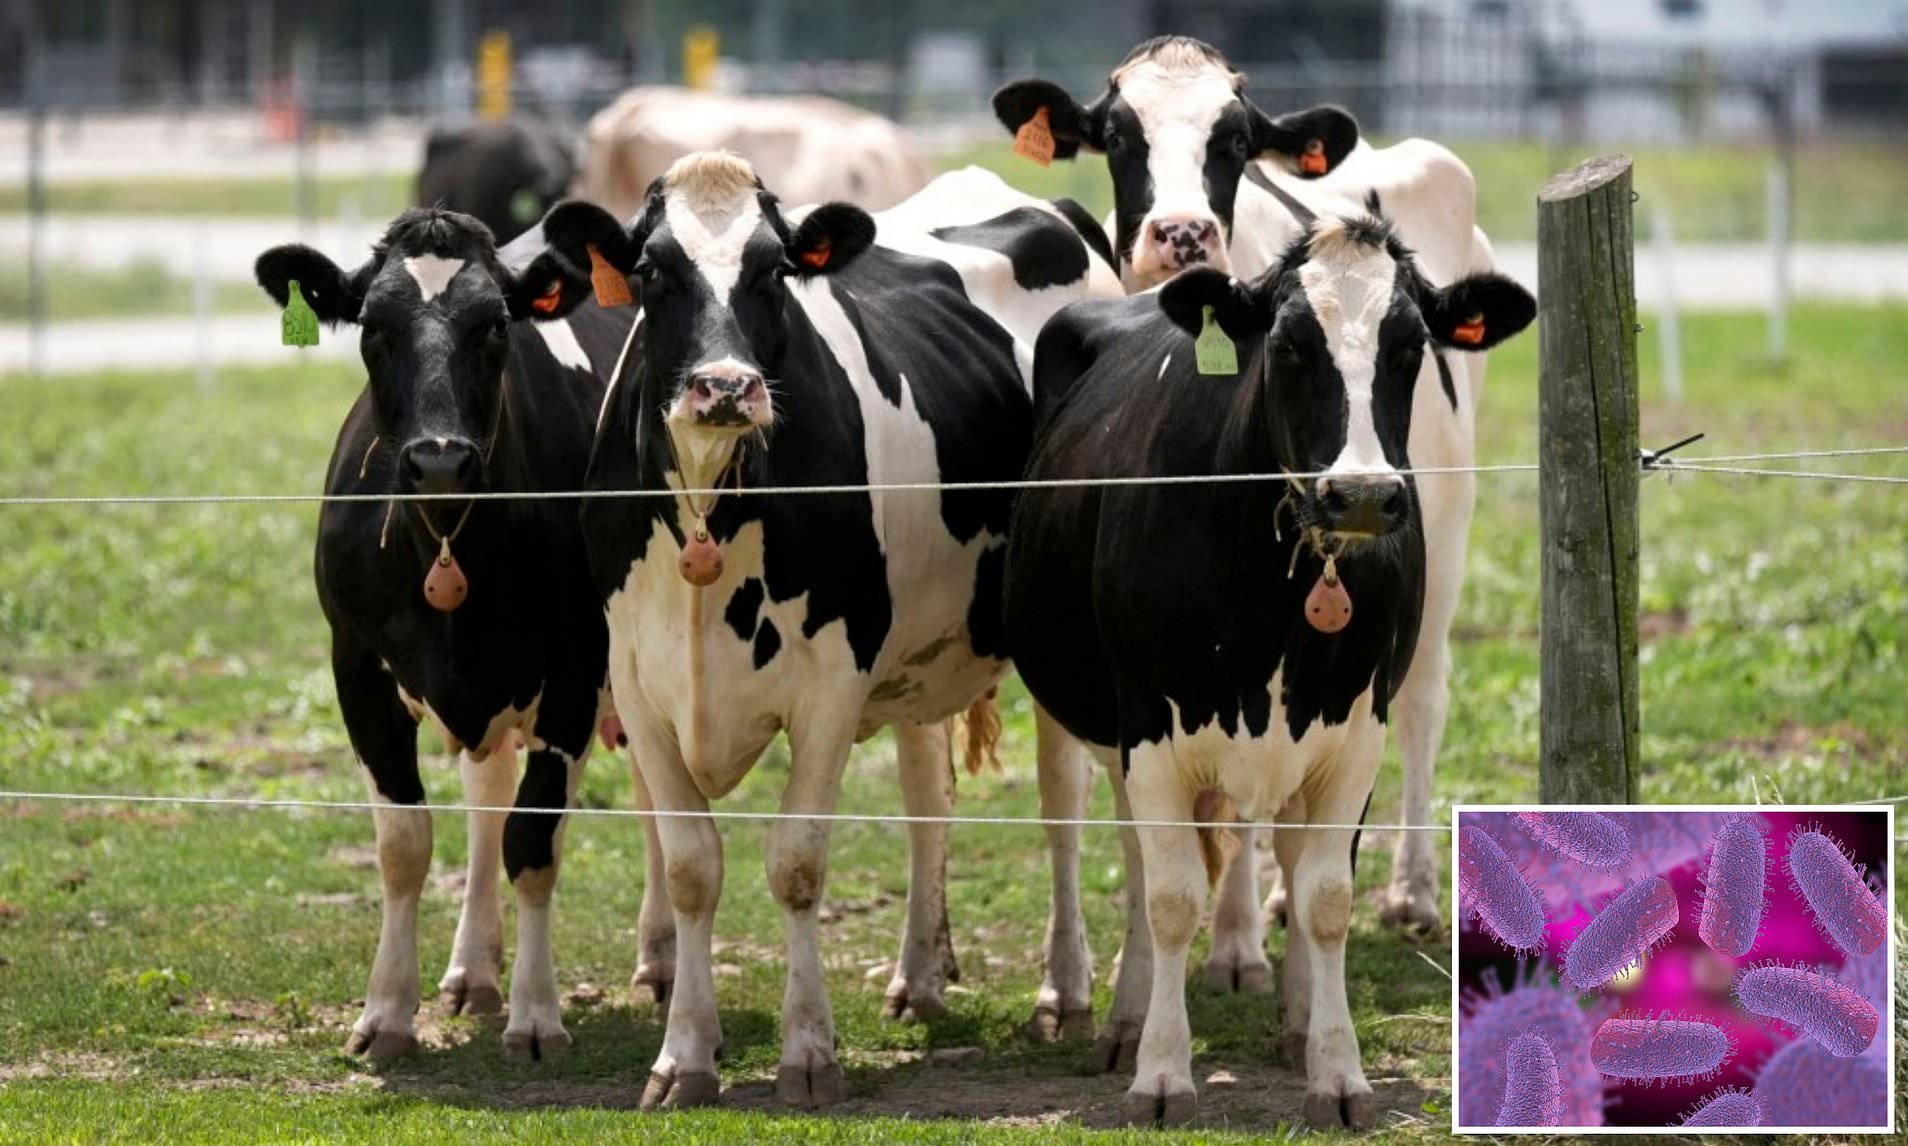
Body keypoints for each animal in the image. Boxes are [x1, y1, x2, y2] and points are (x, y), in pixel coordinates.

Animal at [252, 207, 673, 1062]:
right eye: (374, 328)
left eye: (495, 327)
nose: (440, 460)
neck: (449, 543)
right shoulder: (357, 669)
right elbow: (406, 844)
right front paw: (386, 1011)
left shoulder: (574, 670)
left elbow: (534, 843)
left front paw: (537, 1014)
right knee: (488, 799)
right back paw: (473, 970)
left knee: (648, 795)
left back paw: (659, 958)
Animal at [521, 152, 1119, 1109]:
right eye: (651, 270)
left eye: (774, 270)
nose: (725, 387)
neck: (710, 508)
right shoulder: (641, 686)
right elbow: (691, 867)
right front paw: (684, 1056)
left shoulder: (833, 681)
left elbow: (796, 863)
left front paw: (807, 1052)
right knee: (926, 799)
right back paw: (919, 976)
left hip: (1046, 635)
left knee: (1063, 802)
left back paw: (1062, 992)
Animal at [993, 38, 1496, 1005]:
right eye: (1119, 135)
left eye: (1232, 140)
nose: (1182, 233)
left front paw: (1236, 950)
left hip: (1449, 532)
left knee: (1422, 700)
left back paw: (1410, 888)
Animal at [1004, 208, 1535, 1127]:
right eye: (1287, 347)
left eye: (1410, 346)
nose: (1361, 495)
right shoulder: (1150, 725)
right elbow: (1171, 898)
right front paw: (1162, 1072)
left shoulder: (1356, 730)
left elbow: (1325, 897)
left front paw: (1337, 1069)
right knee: (1137, 859)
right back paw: (1127, 1019)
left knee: (1278, 854)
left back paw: (1292, 1018)